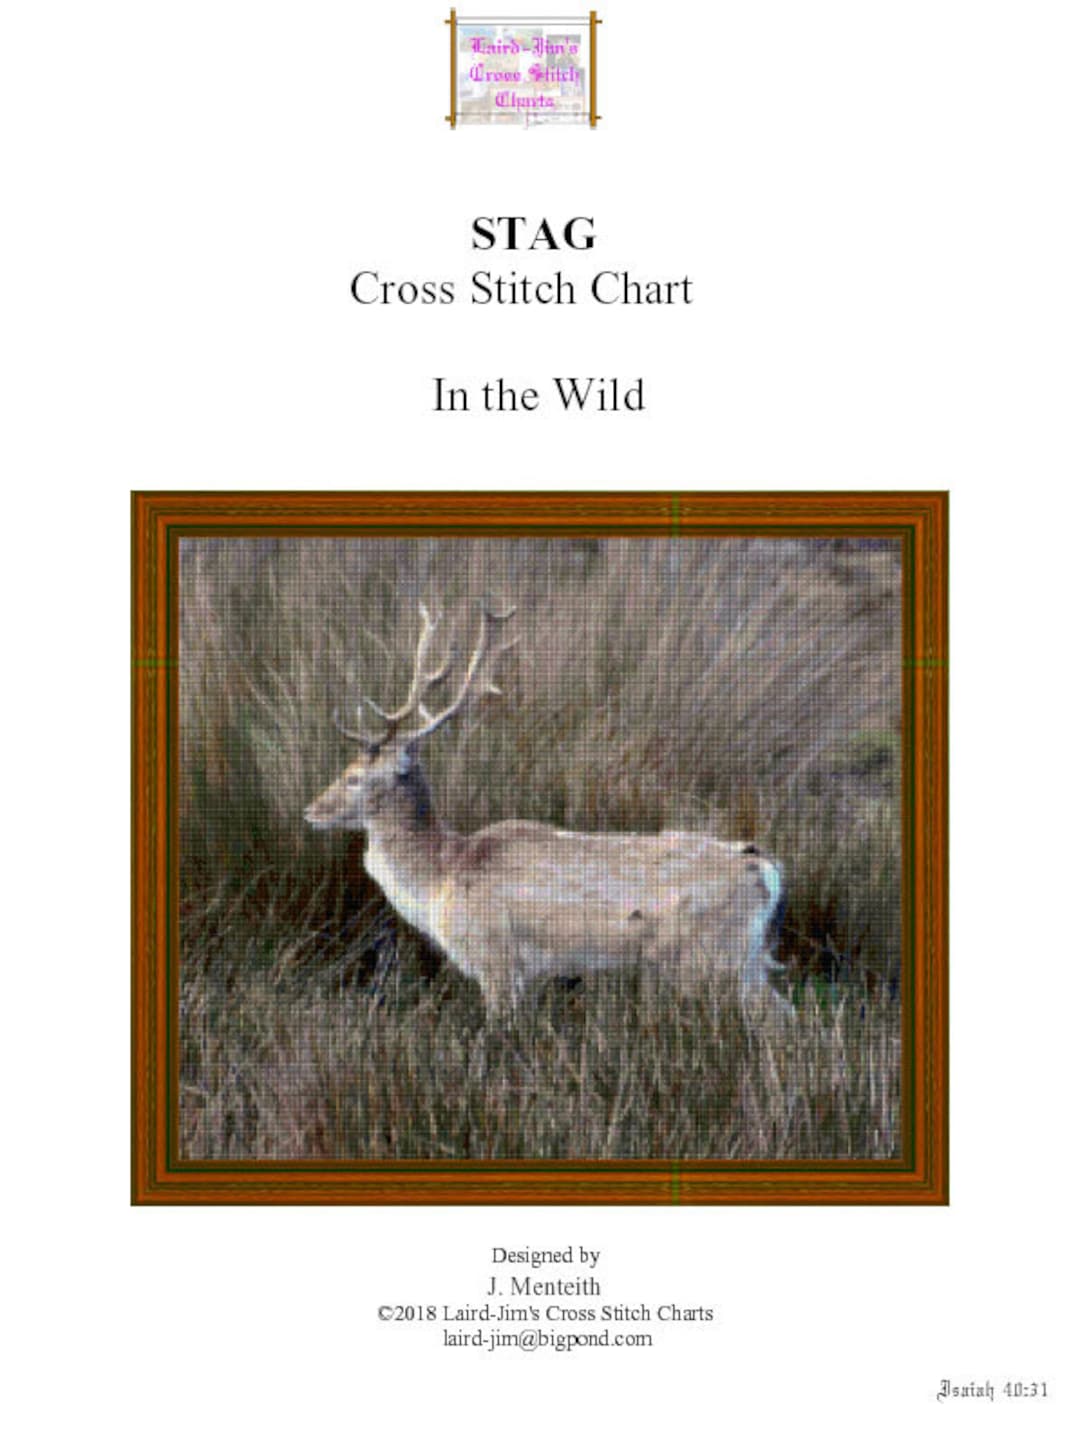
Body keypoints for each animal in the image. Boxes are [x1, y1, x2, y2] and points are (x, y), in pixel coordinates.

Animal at [304, 599, 787, 1020]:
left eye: (354, 776)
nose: (311, 809)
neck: (440, 878)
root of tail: (767, 871)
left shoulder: (496, 957)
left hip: (712, 955)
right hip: (745, 959)